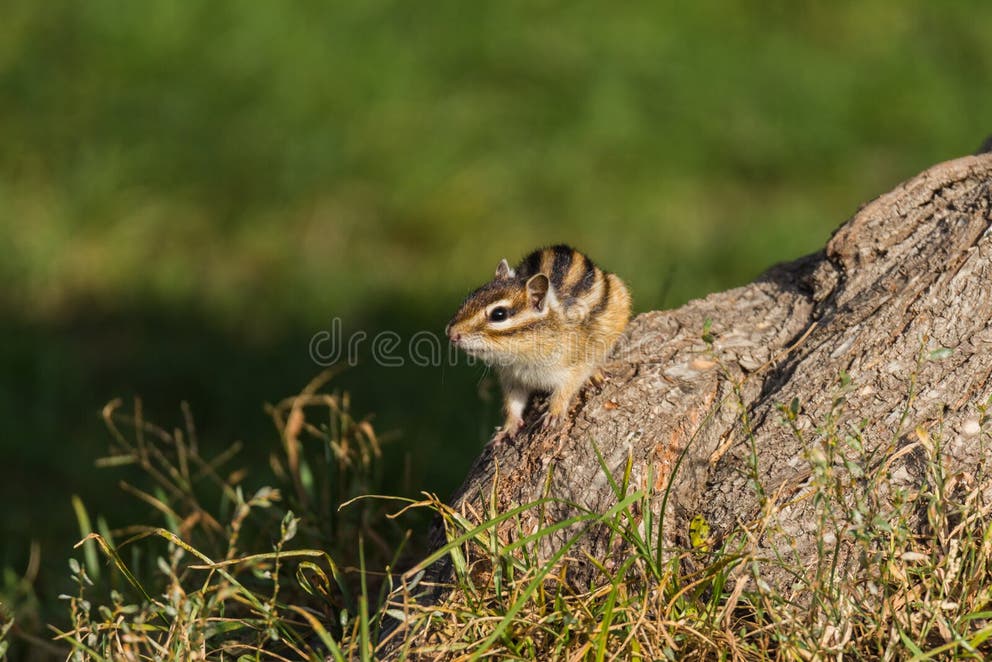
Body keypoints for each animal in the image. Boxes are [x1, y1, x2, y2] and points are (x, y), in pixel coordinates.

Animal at [446, 244, 631, 443]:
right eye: (468, 298)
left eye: (499, 314)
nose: (451, 333)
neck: (523, 355)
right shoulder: (511, 378)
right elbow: (512, 403)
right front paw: (509, 426)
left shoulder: (574, 362)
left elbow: (566, 389)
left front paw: (554, 413)